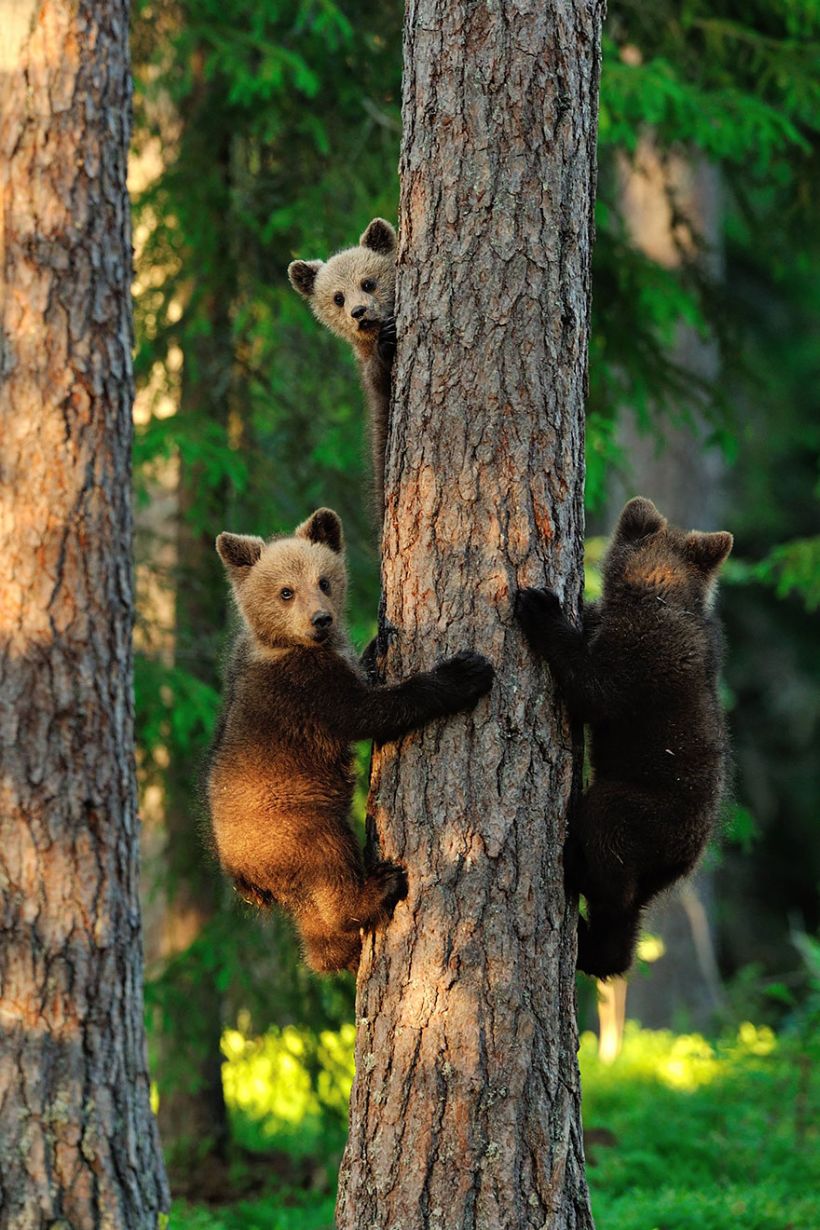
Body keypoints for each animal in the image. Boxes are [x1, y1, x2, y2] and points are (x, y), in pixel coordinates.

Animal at [208, 506, 494, 973]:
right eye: (286, 592)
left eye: (324, 580)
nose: (320, 619)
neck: (287, 645)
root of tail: (243, 878)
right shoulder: (305, 692)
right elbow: (371, 712)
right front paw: (464, 673)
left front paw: (378, 643)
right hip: (296, 823)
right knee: (329, 869)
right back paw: (381, 885)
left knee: (317, 927)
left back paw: (338, 952)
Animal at [288, 219, 397, 515]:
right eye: (338, 297)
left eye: (368, 282)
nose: (359, 312)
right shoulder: (372, 379)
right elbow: (378, 378)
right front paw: (387, 340)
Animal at [515, 496, 733, 979]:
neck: (659, 592)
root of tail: (686, 856)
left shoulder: (643, 653)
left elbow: (595, 691)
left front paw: (542, 608)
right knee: (623, 922)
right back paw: (595, 943)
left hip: (646, 812)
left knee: (608, 844)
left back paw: (575, 867)